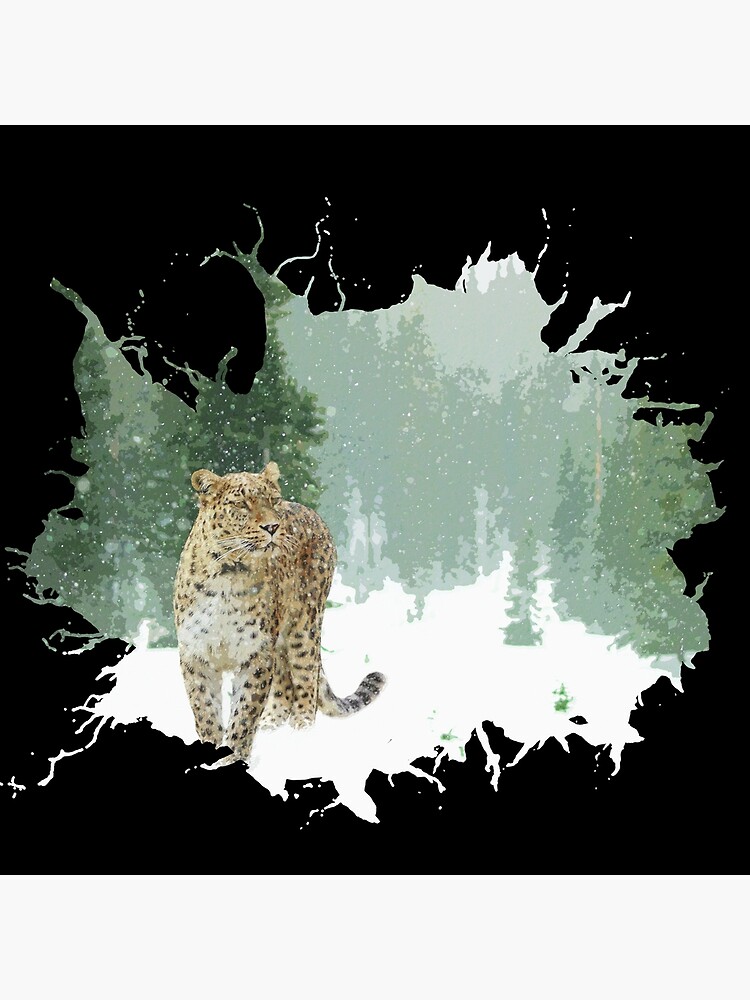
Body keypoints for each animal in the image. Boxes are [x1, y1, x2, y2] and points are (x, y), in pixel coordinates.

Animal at [173, 461, 386, 767]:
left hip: (304, 628)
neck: (228, 573)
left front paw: (233, 758)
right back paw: (272, 727)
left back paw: (299, 736)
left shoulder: (256, 653)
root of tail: (312, 512)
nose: (272, 526)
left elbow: (244, 713)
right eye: (242, 504)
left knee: (305, 682)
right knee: (285, 685)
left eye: (272, 500)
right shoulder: (196, 653)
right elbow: (205, 711)